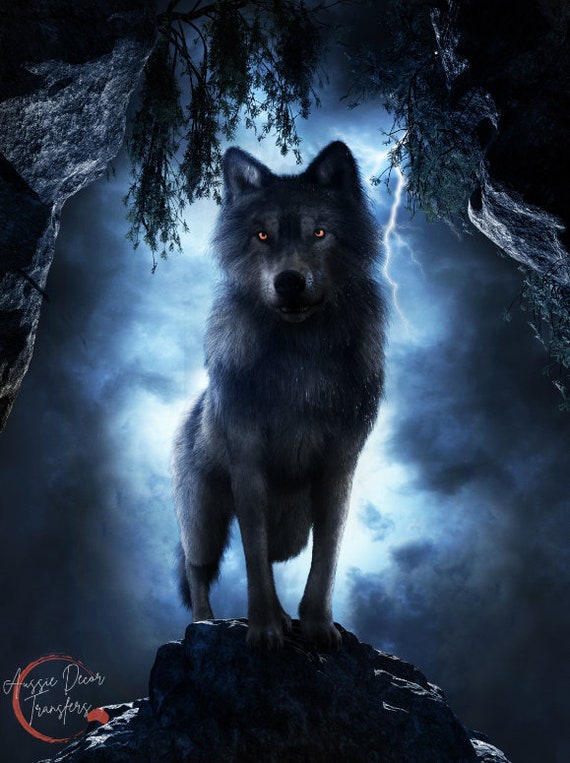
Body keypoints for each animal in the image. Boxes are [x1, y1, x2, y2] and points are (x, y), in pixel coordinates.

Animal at [172, 141, 386, 649]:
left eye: (320, 232)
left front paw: (317, 627)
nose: (289, 281)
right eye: (263, 235)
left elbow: (326, 558)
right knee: (197, 569)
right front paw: (265, 629)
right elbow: (252, 558)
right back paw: (203, 624)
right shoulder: (248, 463)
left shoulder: (339, 466)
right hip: (204, 518)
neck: (300, 359)